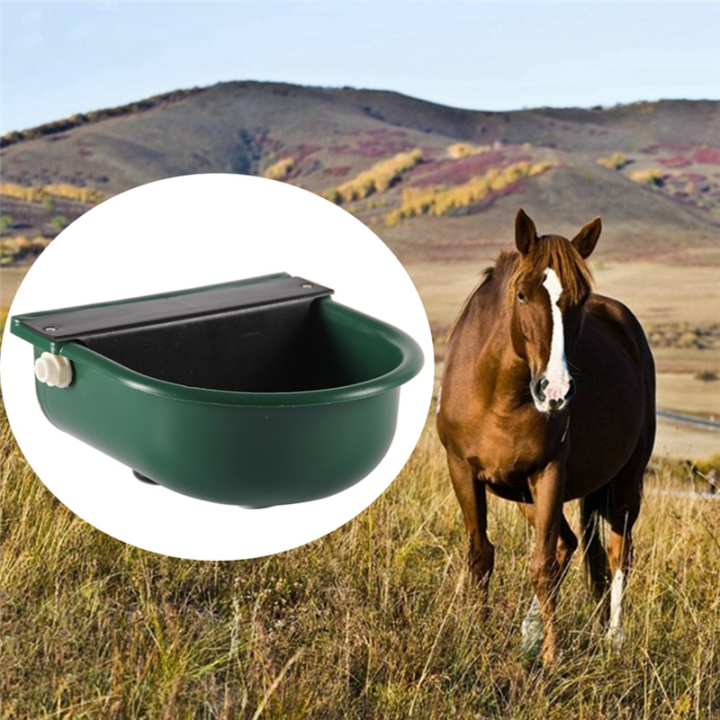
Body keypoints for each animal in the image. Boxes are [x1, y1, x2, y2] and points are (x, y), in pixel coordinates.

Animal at [436, 209, 656, 665]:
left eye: (580, 299)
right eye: (521, 295)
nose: (555, 390)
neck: (498, 395)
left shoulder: (549, 473)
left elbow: (542, 566)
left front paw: (552, 658)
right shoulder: (462, 470)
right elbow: (481, 554)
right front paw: (477, 634)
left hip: (626, 482)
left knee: (617, 553)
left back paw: (613, 639)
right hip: (523, 495)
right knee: (568, 544)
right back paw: (530, 631)